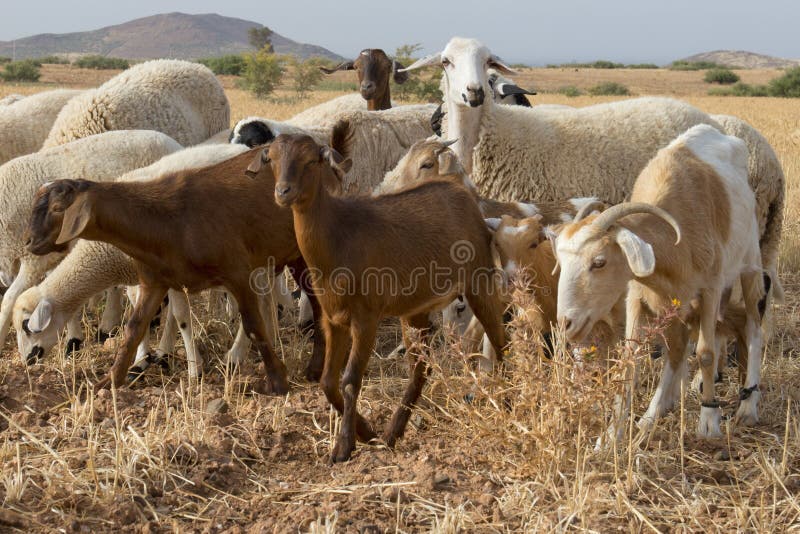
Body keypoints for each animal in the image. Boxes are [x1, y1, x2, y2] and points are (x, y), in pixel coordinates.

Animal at [0, 130, 183, 352]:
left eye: (57, 209)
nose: (28, 241)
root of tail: (173, 144)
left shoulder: (34, 261)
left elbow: (9, 299)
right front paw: (73, 337)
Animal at [25, 146, 337, 391]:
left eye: (57, 208)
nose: (29, 242)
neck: (164, 218)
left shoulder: (237, 272)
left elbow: (252, 324)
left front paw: (277, 381)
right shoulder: (155, 281)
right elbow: (134, 328)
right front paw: (111, 381)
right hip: (295, 257)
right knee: (317, 303)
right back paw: (315, 367)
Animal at [269, 133, 507, 462]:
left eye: (310, 160)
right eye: (271, 158)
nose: (283, 192)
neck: (338, 236)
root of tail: (463, 193)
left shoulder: (366, 318)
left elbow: (350, 380)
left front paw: (344, 447)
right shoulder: (334, 320)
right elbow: (328, 381)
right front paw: (366, 433)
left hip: (479, 281)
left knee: (500, 340)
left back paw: (509, 404)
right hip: (415, 310)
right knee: (421, 368)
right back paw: (392, 433)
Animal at [554, 124, 764, 444]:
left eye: (599, 262)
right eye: (561, 261)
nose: (566, 323)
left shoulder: (710, 288)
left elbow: (705, 353)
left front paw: (709, 422)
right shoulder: (638, 296)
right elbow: (632, 358)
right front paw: (611, 435)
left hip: (749, 263)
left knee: (753, 327)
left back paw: (748, 405)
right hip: (674, 303)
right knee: (677, 349)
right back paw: (655, 413)